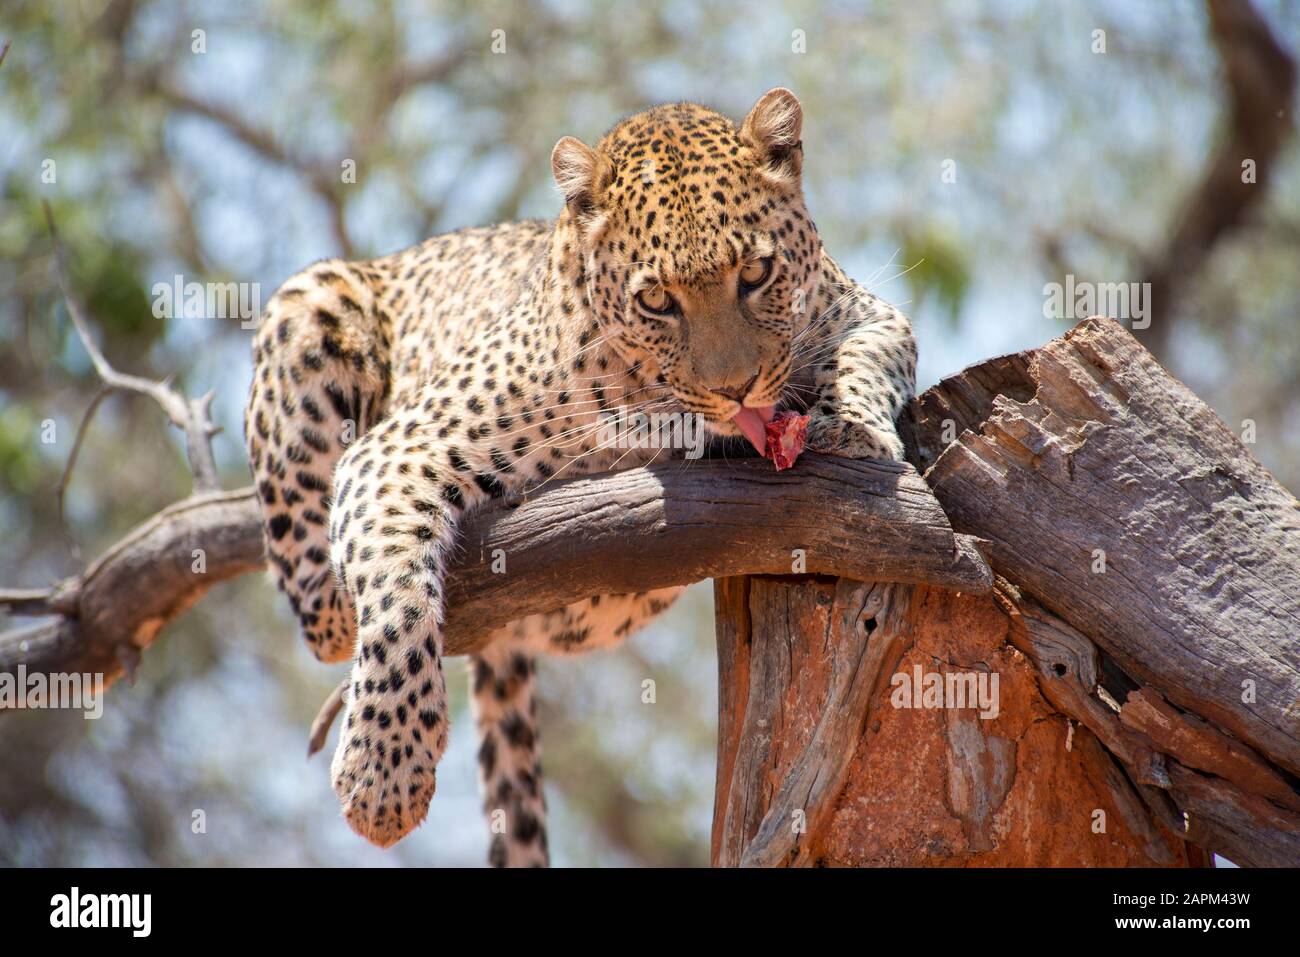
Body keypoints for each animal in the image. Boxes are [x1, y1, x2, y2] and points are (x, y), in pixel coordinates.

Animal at [244, 88, 917, 867]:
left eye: (756, 276)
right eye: (657, 301)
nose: (737, 389)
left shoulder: (868, 311)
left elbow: (869, 354)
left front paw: (853, 424)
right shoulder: (399, 450)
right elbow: (397, 601)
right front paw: (384, 772)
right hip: (310, 298)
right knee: (325, 615)